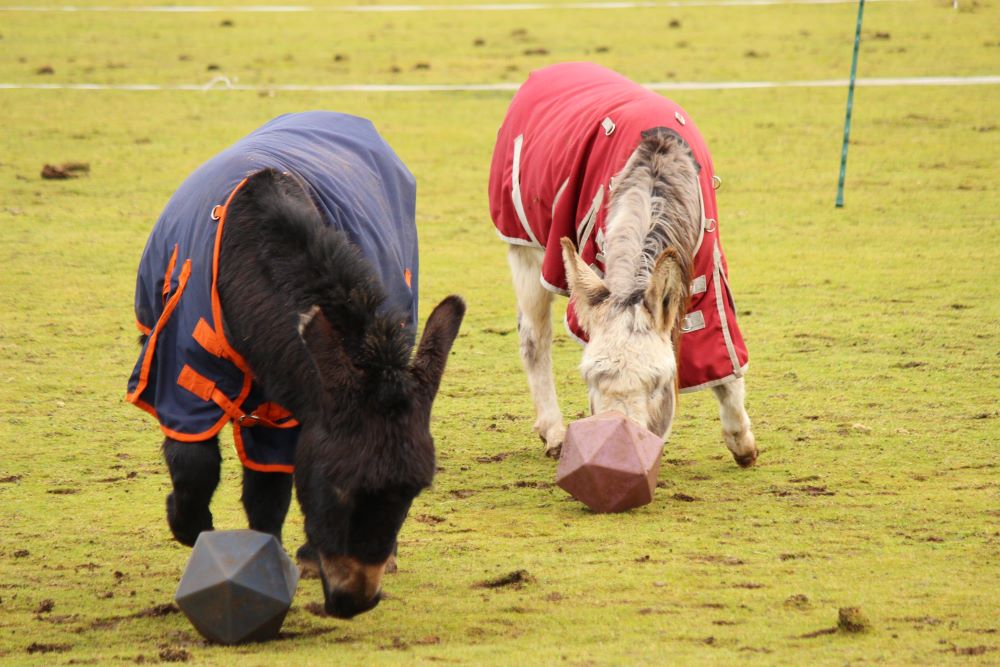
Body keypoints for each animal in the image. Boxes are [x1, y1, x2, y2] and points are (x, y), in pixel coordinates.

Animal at [127, 112, 465, 619]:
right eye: (338, 485)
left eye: (411, 493)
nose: (354, 602)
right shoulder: (182, 380)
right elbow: (195, 464)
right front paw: (190, 527)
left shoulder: (287, 408)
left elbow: (268, 490)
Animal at [488, 62, 756, 466]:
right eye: (589, 379)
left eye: (659, 382)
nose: (621, 453)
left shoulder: (707, 282)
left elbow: (725, 363)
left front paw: (743, 444)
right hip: (524, 249)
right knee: (534, 339)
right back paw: (554, 433)